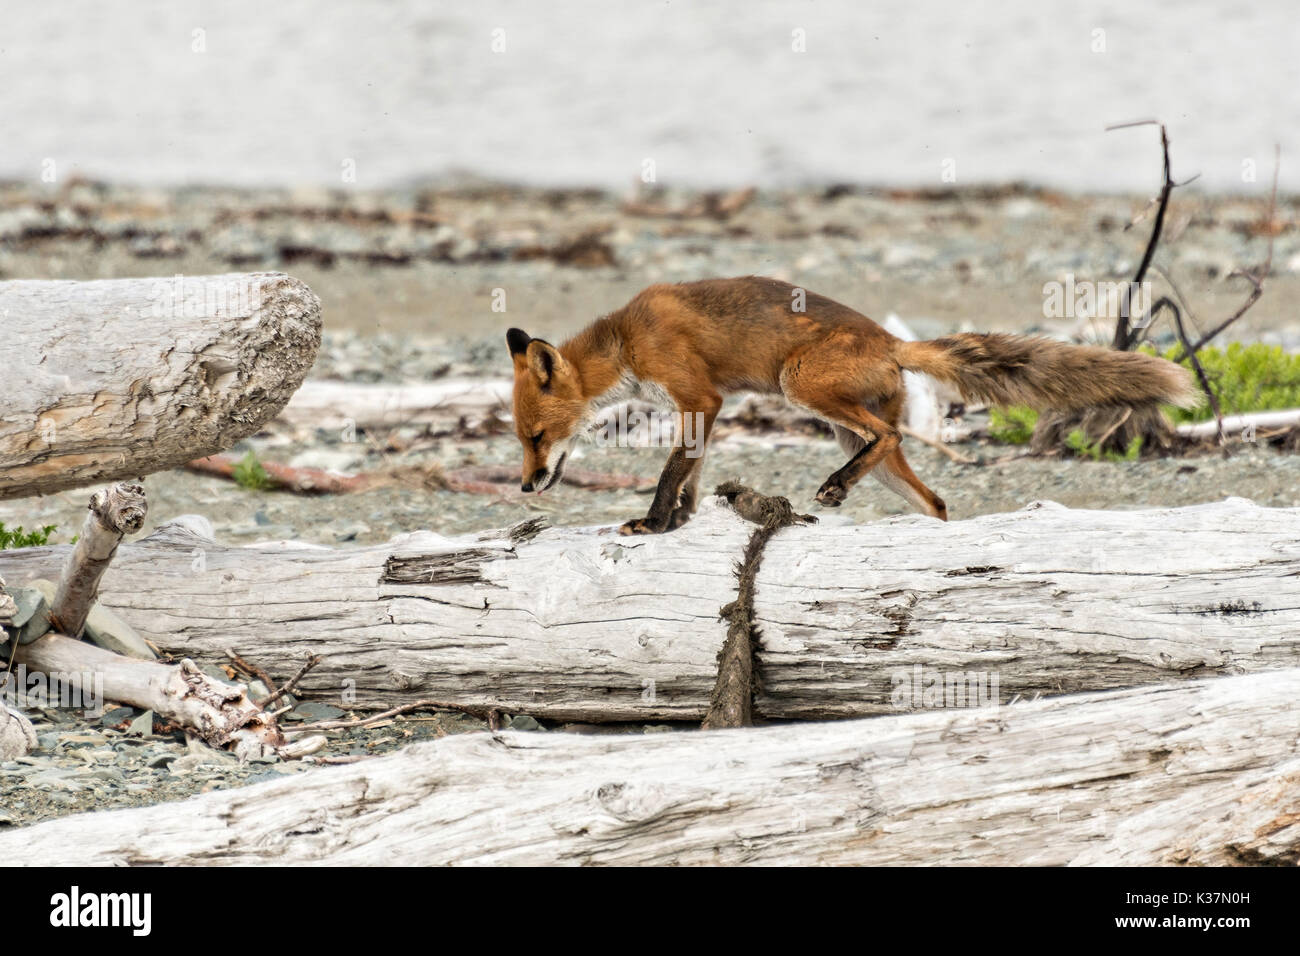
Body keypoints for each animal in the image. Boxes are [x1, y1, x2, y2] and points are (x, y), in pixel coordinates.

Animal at [506, 276, 1197, 535]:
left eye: (535, 436)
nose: (526, 486)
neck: (627, 342)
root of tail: (892, 340)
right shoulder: (698, 406)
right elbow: (691, 476)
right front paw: (675, 521)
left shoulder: (700, 396)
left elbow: (672, 470)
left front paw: (652, 524)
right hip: (847, 428)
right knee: (933, 499)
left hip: (802, 386)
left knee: (890, 438)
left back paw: (836, 486)